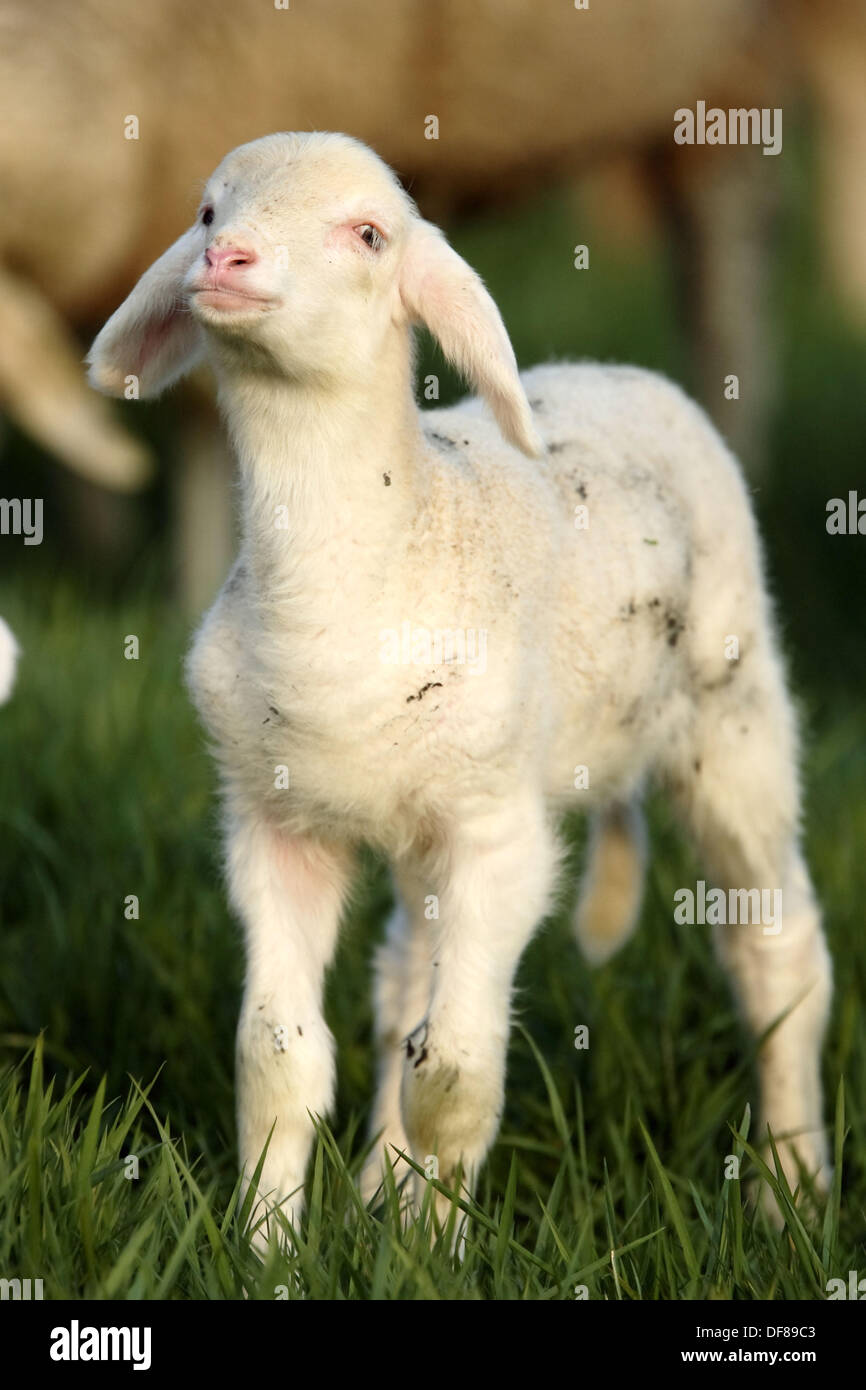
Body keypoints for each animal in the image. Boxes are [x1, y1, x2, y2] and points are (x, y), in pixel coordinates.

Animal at [88, 131, 831, 1246]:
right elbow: (277, 1060)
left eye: (367, 233)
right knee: (406, 974)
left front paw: (435, 1248)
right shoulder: (274, 827)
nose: (224, 263)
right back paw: (375, 1188)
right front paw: (269, 1242)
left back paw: (792, 1186)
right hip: (418, 815)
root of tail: (611, 370)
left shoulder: (496, 834)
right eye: (209, 213)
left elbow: (456, 1077)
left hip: (731, 719)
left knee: (776, 951)